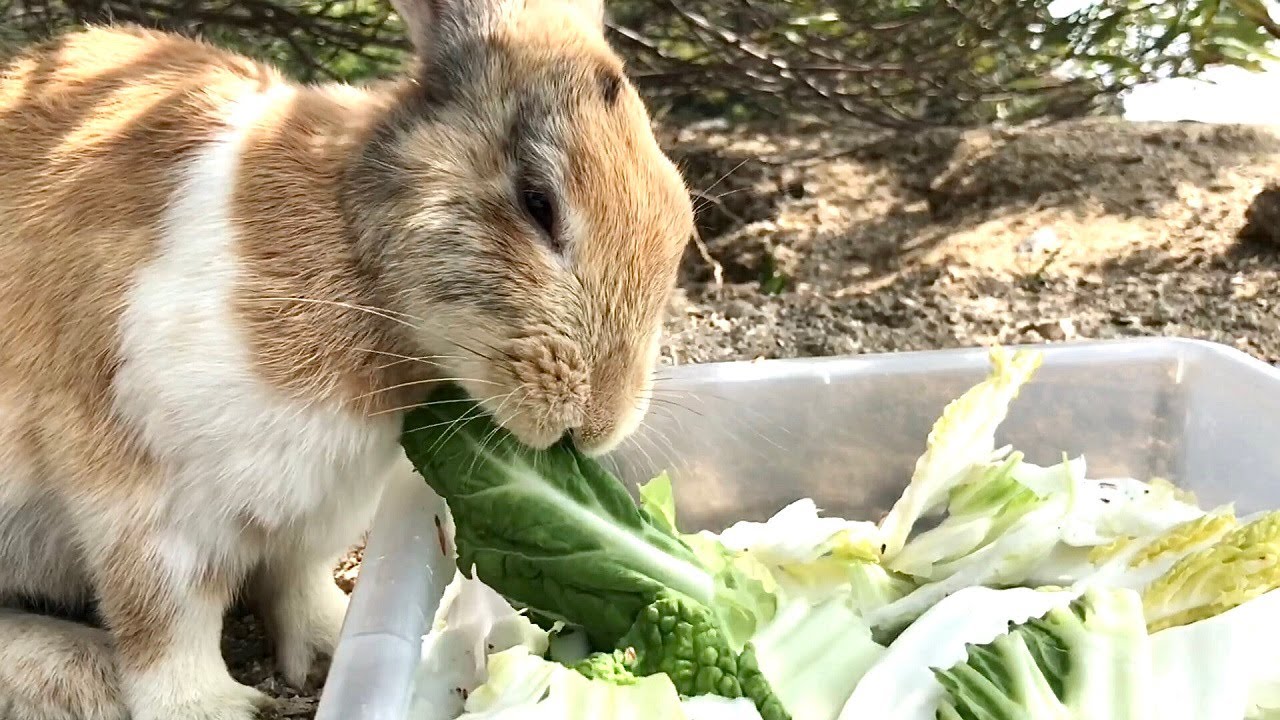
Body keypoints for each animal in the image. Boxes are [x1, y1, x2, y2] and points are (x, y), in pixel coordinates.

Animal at [0, 0, 695, 717]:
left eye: (677, 205)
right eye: (537, 202)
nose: (600, 424)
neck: (361, 263)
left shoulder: (315, 517)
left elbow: (296, 585)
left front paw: (332, 642)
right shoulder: (145, 500)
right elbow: (167, 622)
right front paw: (213, 707)